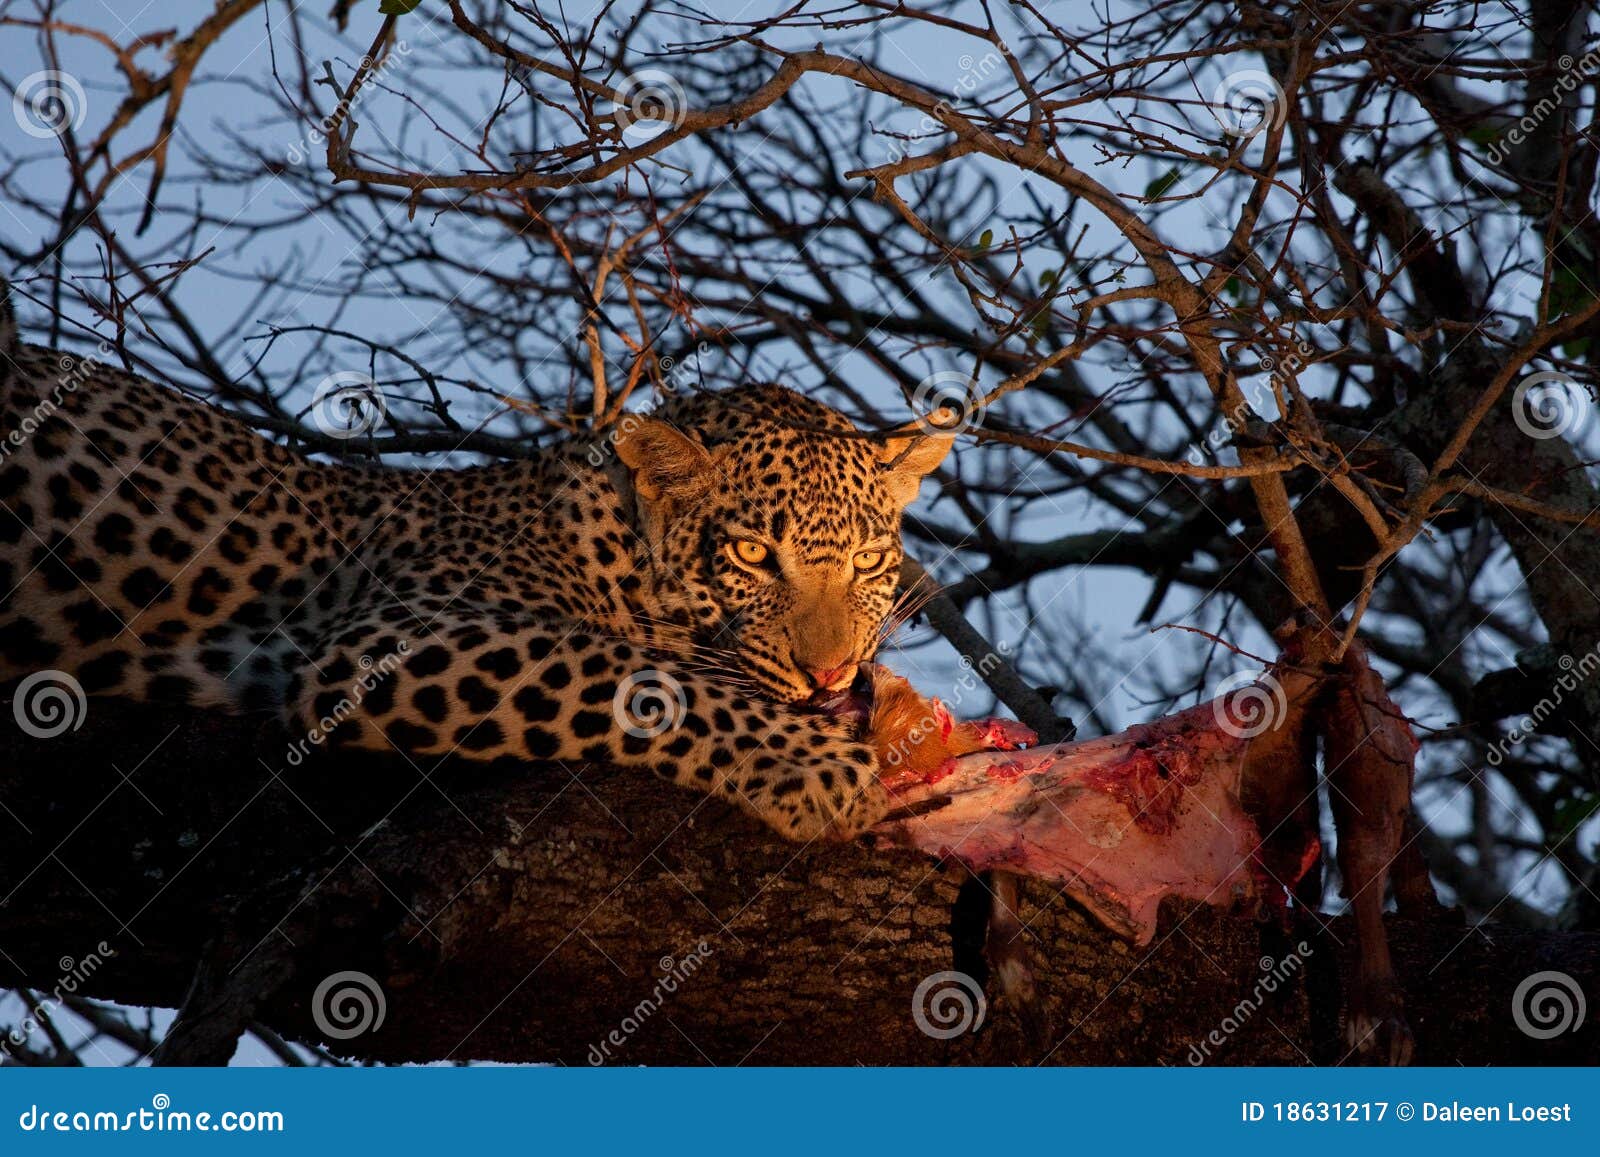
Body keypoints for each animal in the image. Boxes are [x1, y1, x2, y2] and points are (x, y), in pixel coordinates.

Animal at [0, 290, 952, 842]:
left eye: (870, 560)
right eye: (753, 554)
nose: (831, 670)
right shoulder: (389, 635)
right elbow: (637, 672)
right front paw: (818, 768)